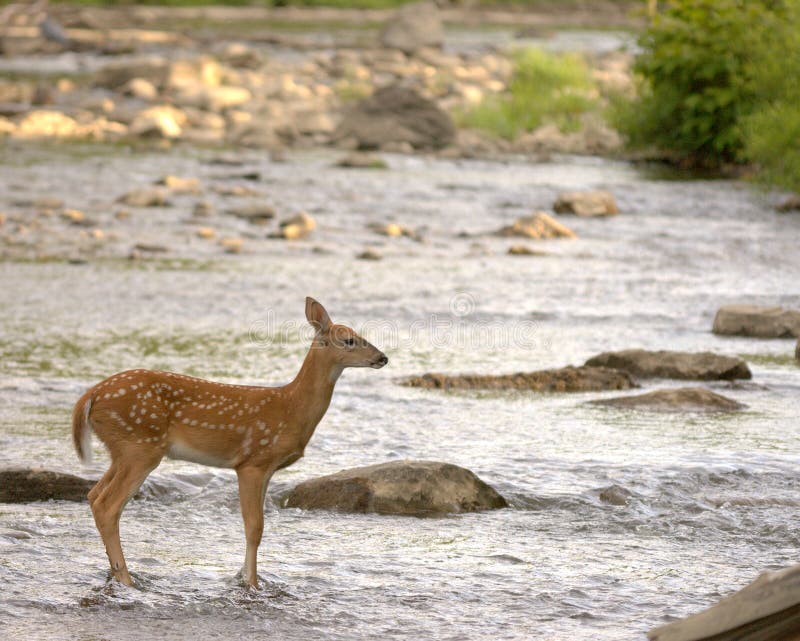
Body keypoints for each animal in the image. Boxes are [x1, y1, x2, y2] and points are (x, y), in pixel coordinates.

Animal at [72, 297, 388, 589]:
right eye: (348, 340)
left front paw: (244, 577)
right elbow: (254, 527)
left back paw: (117, 574)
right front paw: (253, 583)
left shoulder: (267, 469)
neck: (290, 407)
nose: (383, 357)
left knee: (94, 495)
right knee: (108, 505)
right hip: (141, 445)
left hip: (122, 449)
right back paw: (127, 580)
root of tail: (90, 396)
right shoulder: (253, 461)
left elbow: (258, 526)